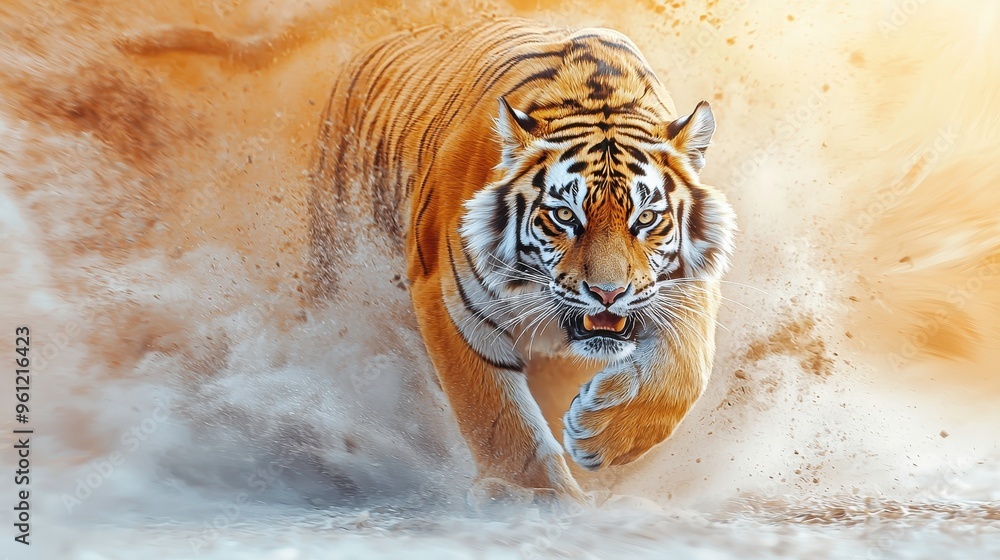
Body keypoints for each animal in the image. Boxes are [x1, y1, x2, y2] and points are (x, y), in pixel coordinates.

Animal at [309, 17, 737, 502]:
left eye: (646, 218)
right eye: (565, 215)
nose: (608, 294)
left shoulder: (685, 286)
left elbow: (687, 368)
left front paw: (599, 435)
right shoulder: (448, 300)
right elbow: (495, 415)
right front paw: (533, 499)